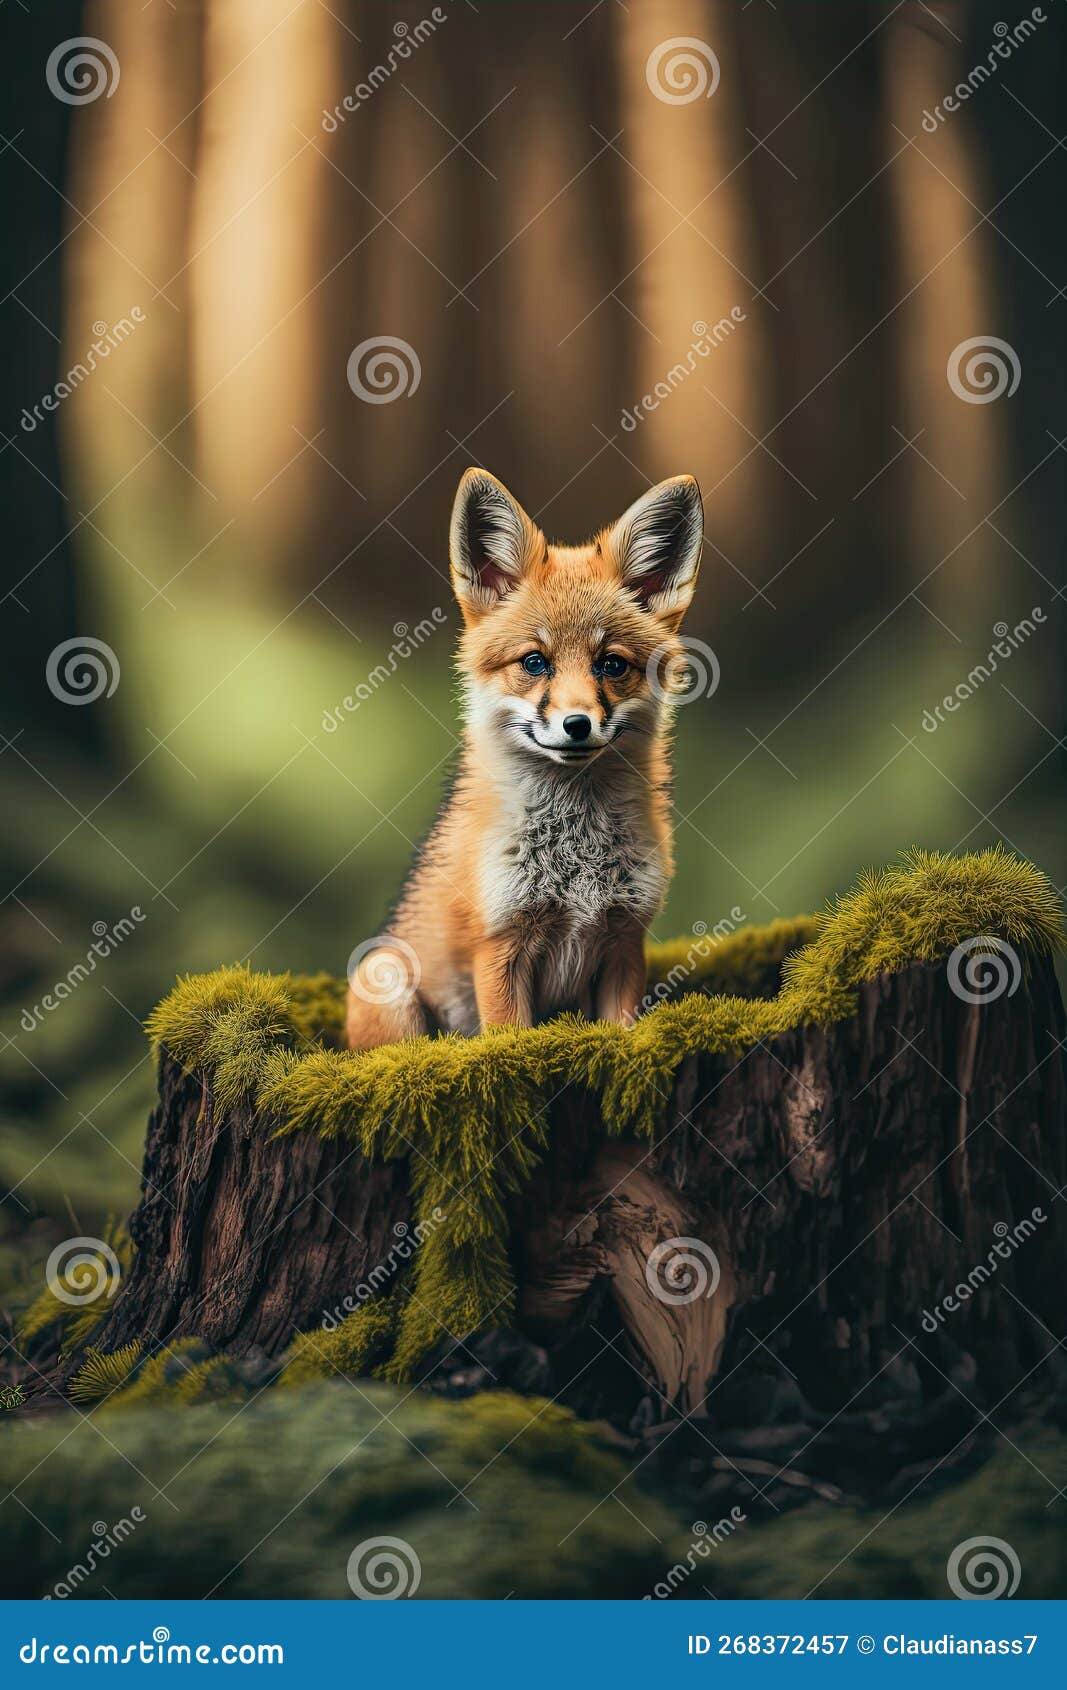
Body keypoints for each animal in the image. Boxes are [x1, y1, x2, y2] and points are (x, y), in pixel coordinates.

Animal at [344, 467, 704, 1050]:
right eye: (535, 662)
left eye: (612, 665)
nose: (577, 724)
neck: (578, 861)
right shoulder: (500, 945)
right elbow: (510, 1037)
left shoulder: (625, 939)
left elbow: (621, 1031)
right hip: (388, 983)